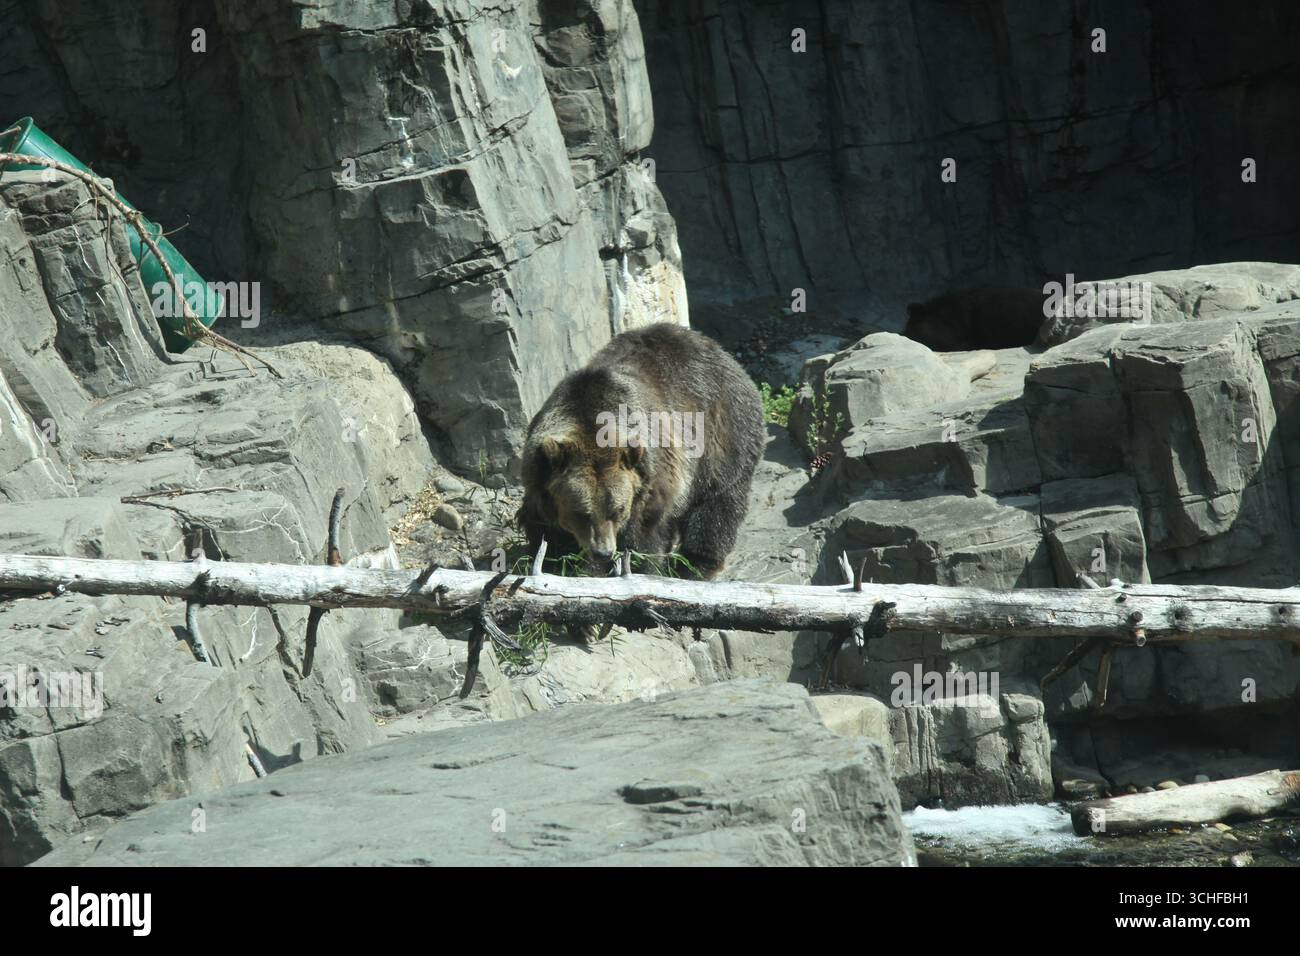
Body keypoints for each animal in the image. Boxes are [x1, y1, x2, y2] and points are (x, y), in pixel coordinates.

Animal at [518, 322, 765, 582]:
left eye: (618, 510)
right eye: (580, 513)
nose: (603, 552)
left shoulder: (650, 480)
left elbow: (642, 538)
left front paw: (637, 568)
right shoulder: (540, 482)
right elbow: (548, 535)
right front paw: (559, 565)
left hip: (721, 430)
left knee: (716, 502)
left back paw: (696, 564)